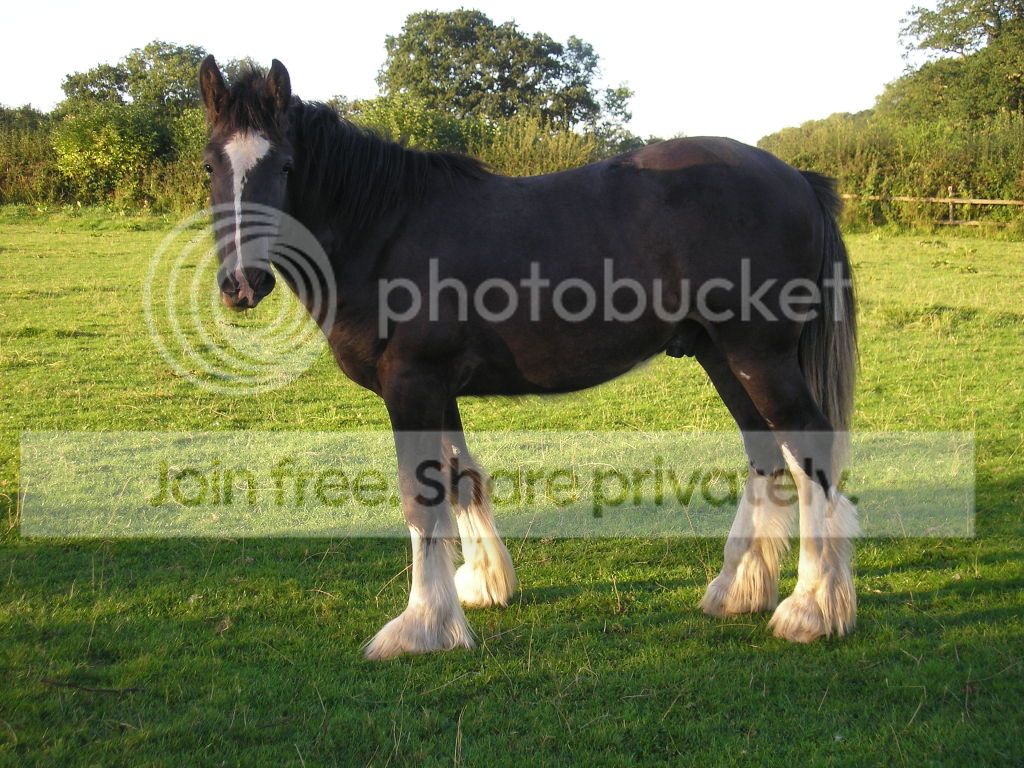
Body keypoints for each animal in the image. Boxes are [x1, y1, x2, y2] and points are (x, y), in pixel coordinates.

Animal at [197, 56, 859, 660]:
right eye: (211, 165)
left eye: (284, 166)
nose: (241, 285)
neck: (384, 229)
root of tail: (797, 178)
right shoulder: (437, 389)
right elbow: (459, 479)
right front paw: (480, 586)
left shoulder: (411, 384)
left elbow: (420, 498)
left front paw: (420, 626)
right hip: (722, 356)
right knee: (765, 456)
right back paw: (739, 590)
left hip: (760, 355)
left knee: (808, 451)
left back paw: (812, 609)